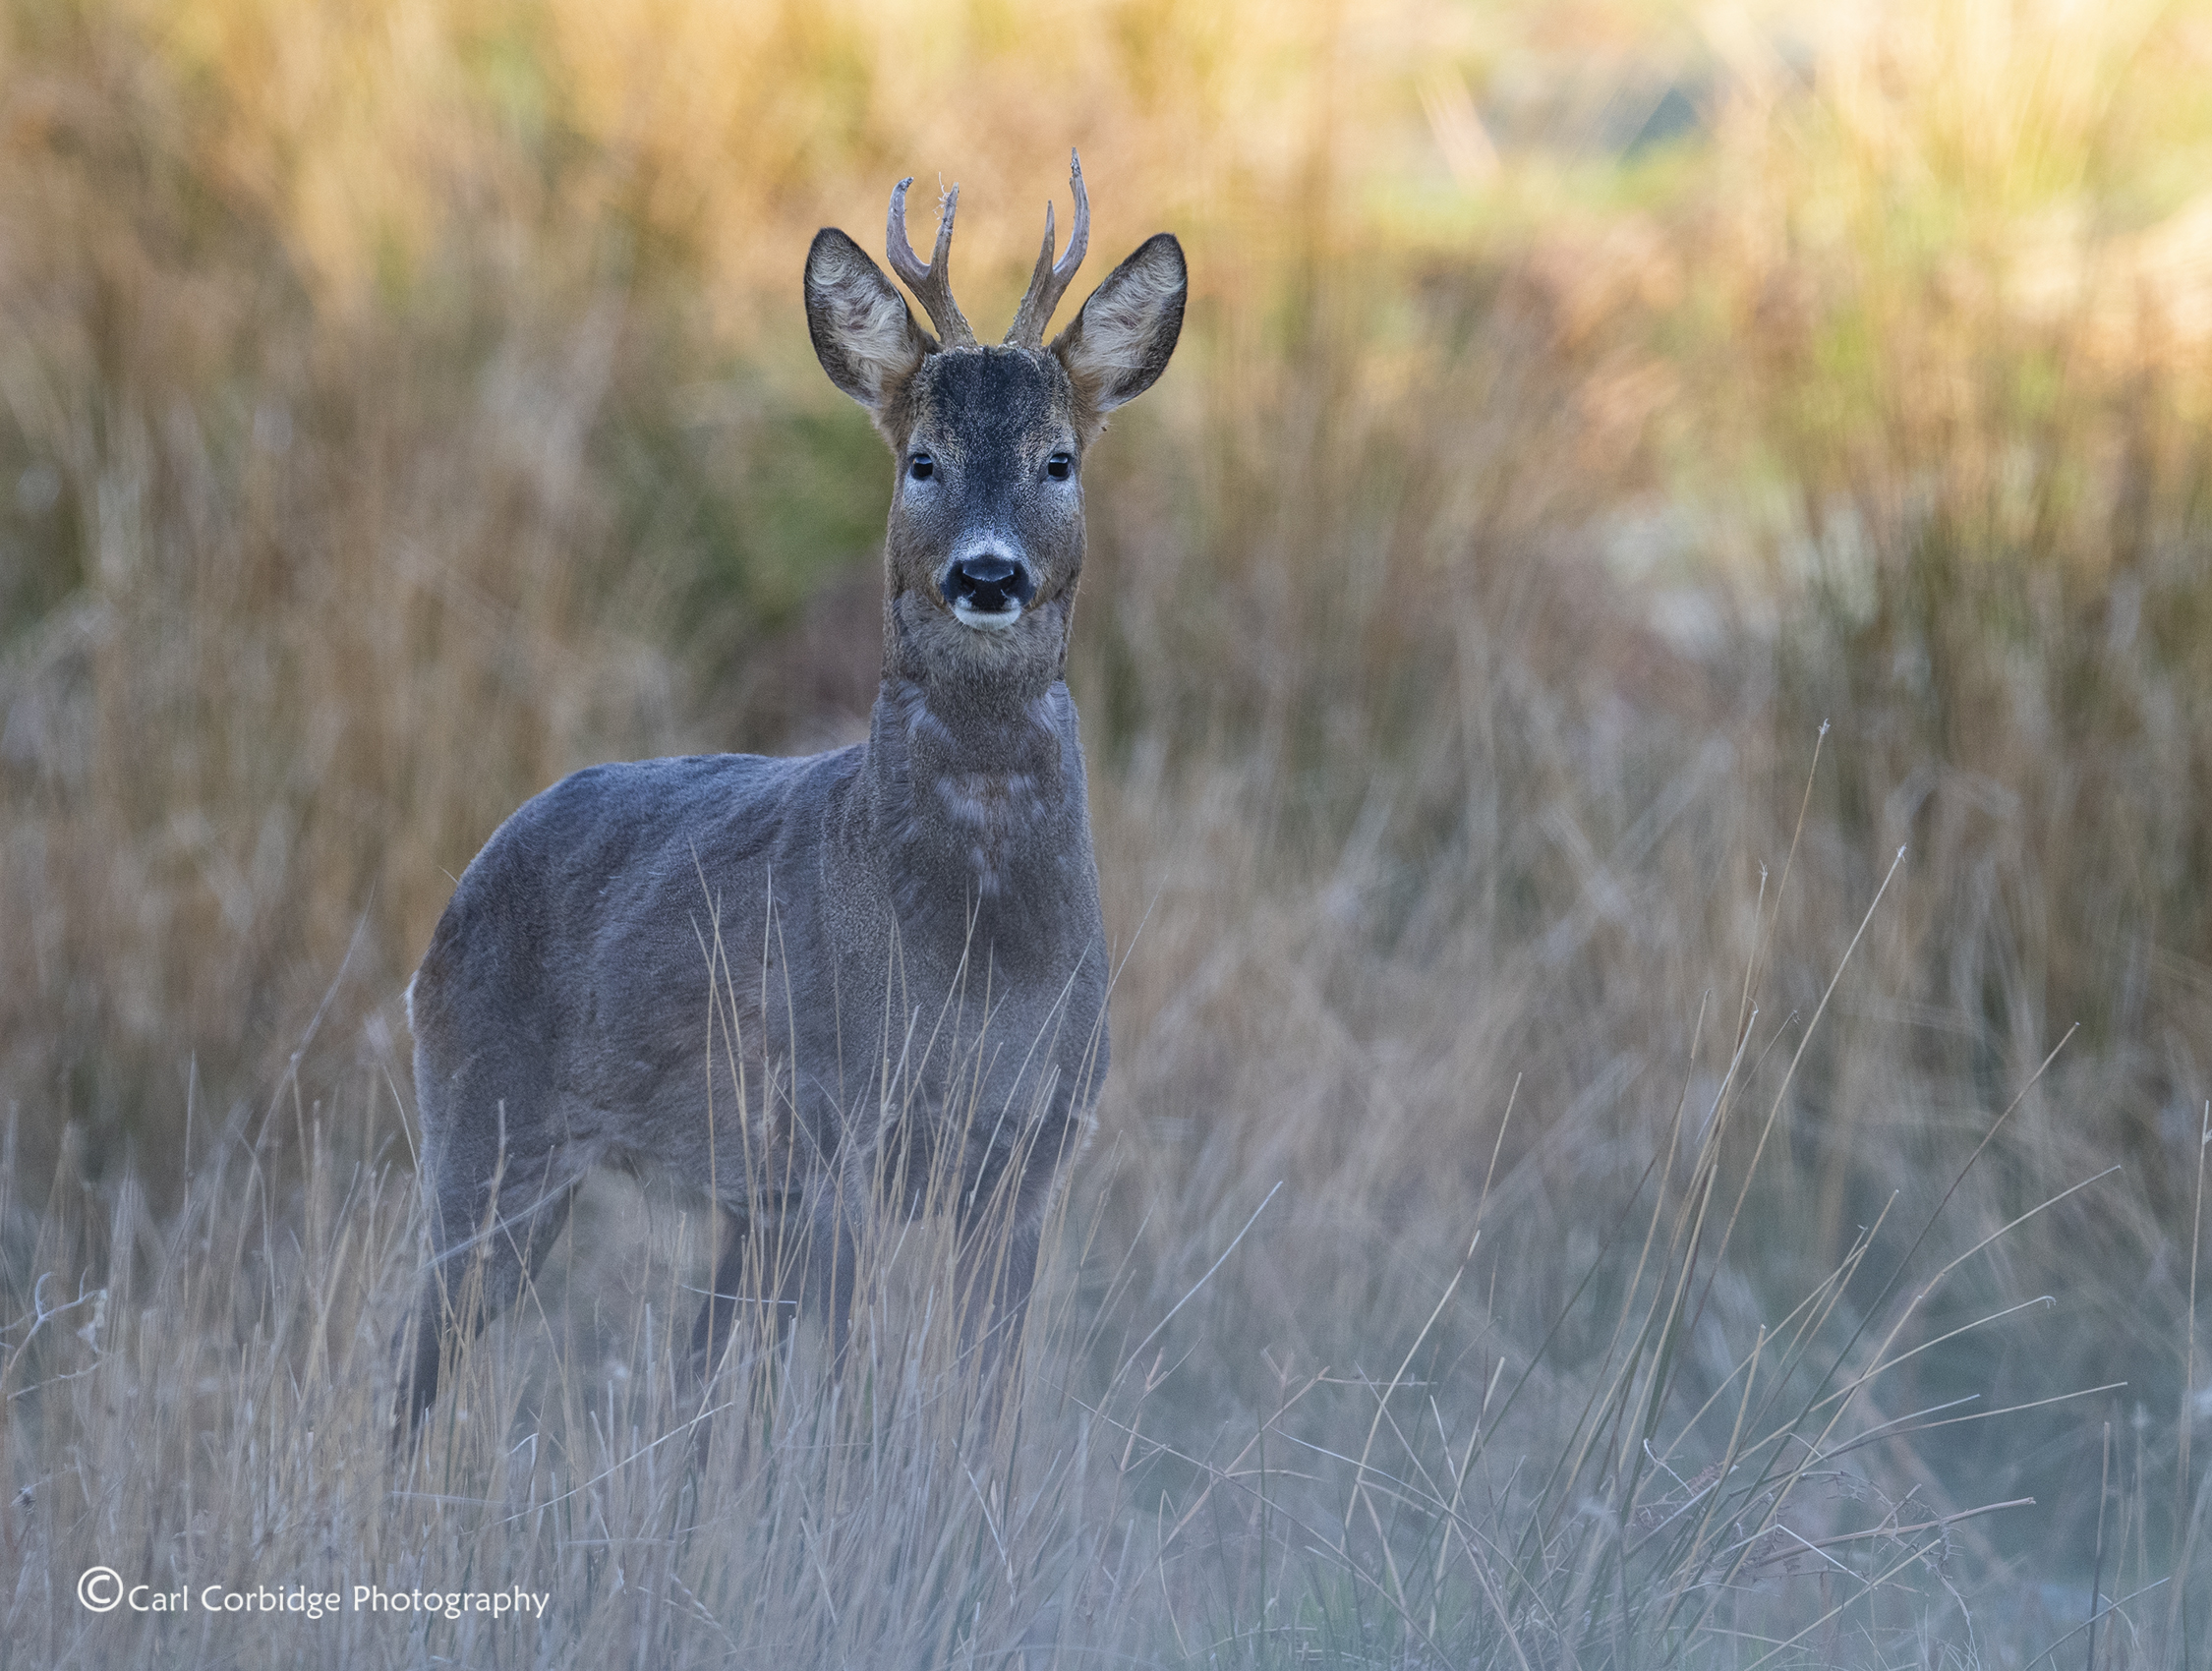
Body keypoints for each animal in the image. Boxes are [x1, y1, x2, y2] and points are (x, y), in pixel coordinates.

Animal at [395, 153, 1186, 1441]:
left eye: (1057, 460)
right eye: (923, 459)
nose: (987, 574)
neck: (971, 965)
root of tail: (452, 901)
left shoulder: (1034, 1144)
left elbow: (984, 1398)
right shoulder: (831, 1121)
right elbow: (846, 1387)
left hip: (725, 1197)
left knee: (688, 1366)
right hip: (486, 1119)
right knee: (414, 1357)